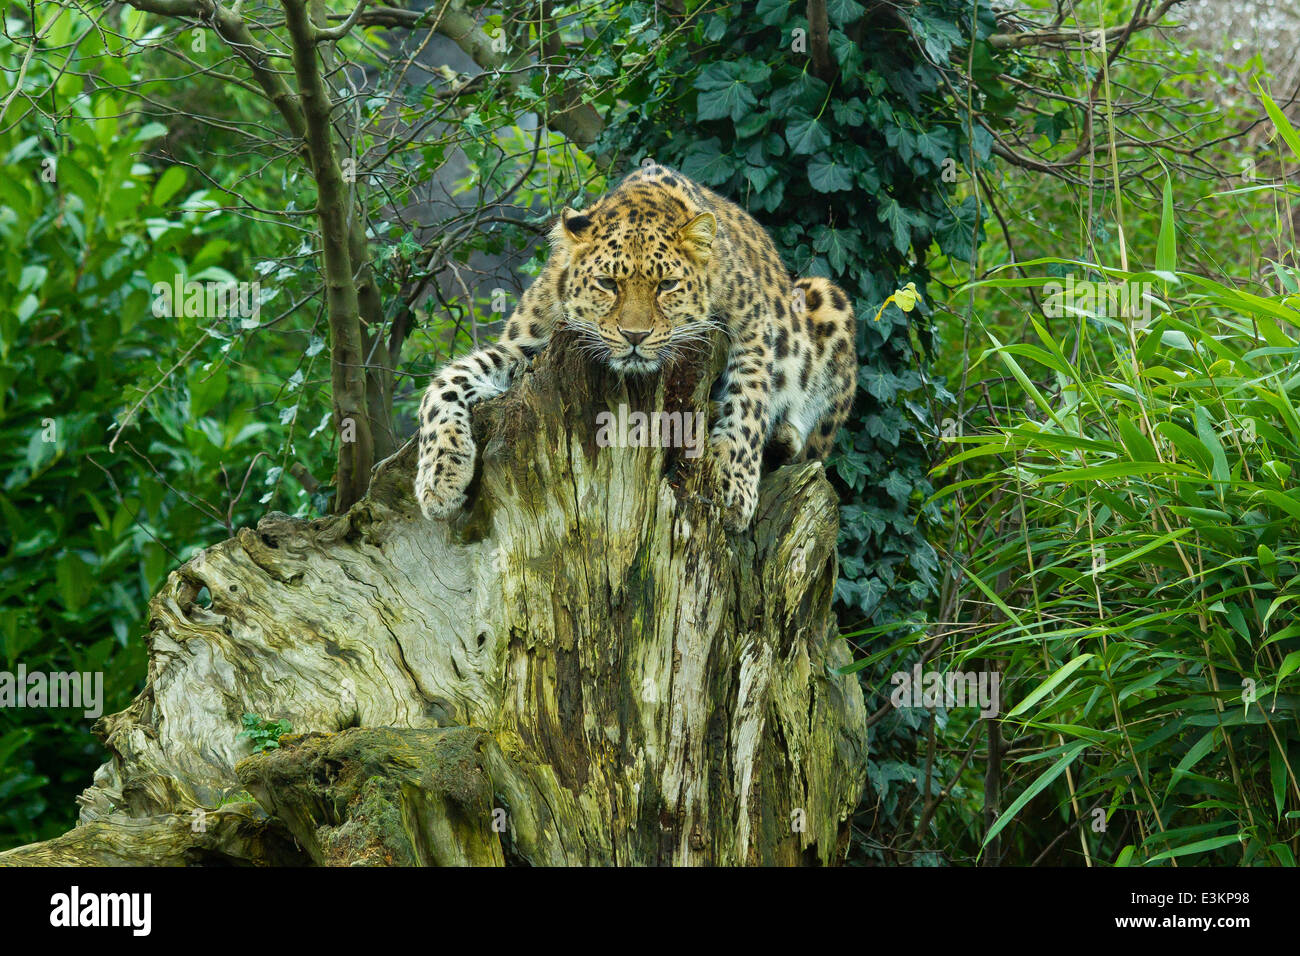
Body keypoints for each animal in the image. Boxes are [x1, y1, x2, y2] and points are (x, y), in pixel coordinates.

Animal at [414, 162, 857, 531]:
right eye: (608, 284)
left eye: (667, 285)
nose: (635, 336)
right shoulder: (523, 349)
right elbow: (445, 384)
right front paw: (439, 480)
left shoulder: (754, 325)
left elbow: (748, 404)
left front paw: (732, 491)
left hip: (826, 297)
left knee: (810, 447)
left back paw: (781, 436)